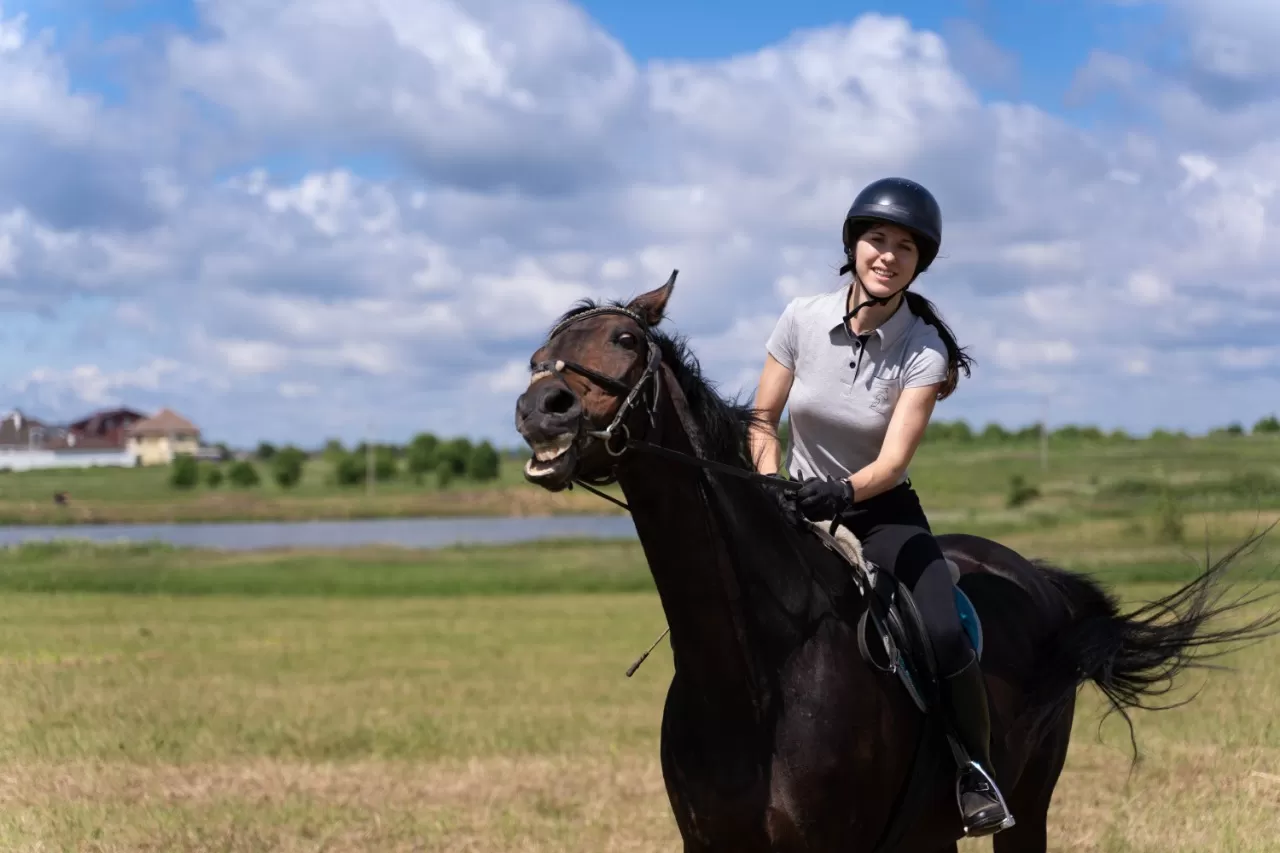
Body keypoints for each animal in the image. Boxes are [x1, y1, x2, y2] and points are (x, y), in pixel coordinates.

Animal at [512, 272, 1280, 850]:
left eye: (625, 340)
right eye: (541, 350)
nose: (541, 409)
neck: (752, 668)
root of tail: (1040, 580)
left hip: (1026, 808)